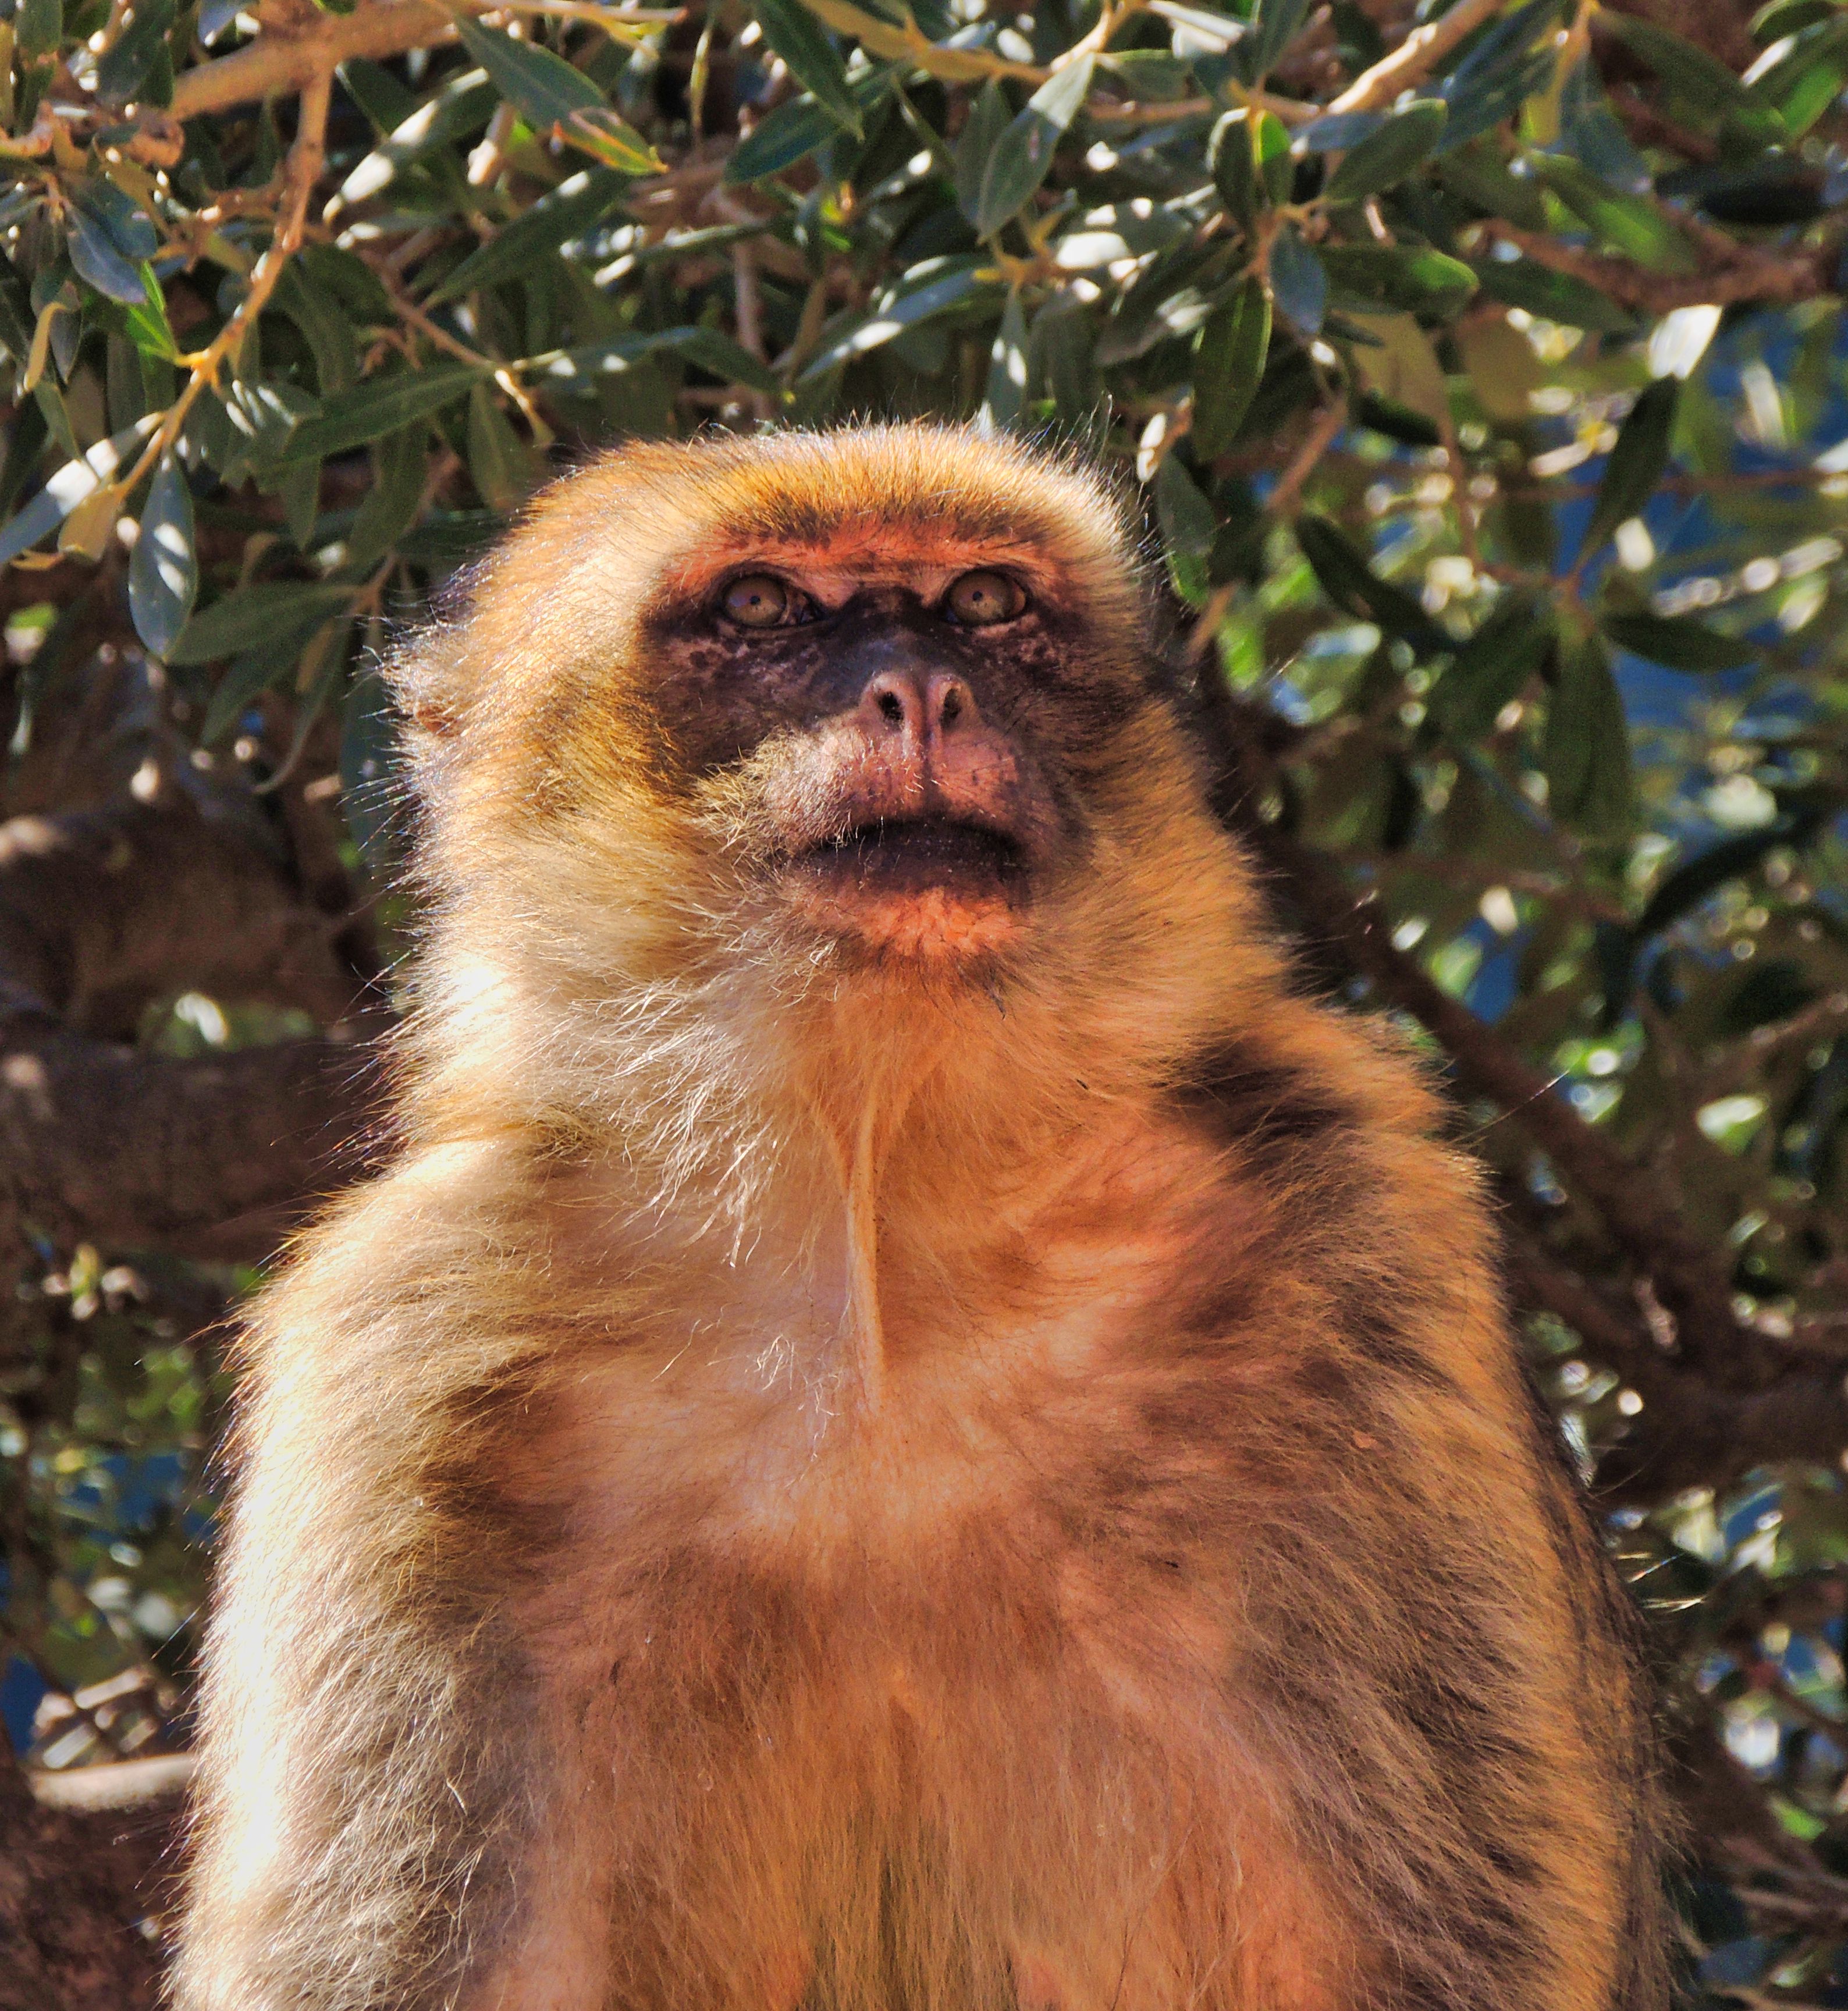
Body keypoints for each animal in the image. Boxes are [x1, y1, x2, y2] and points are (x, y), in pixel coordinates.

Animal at [171, 423, 1672, 2011]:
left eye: (984, 602)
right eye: (762, 606)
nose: (924, 691)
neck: (879, 1231)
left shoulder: (1357, 1236)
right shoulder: (407, 1351)